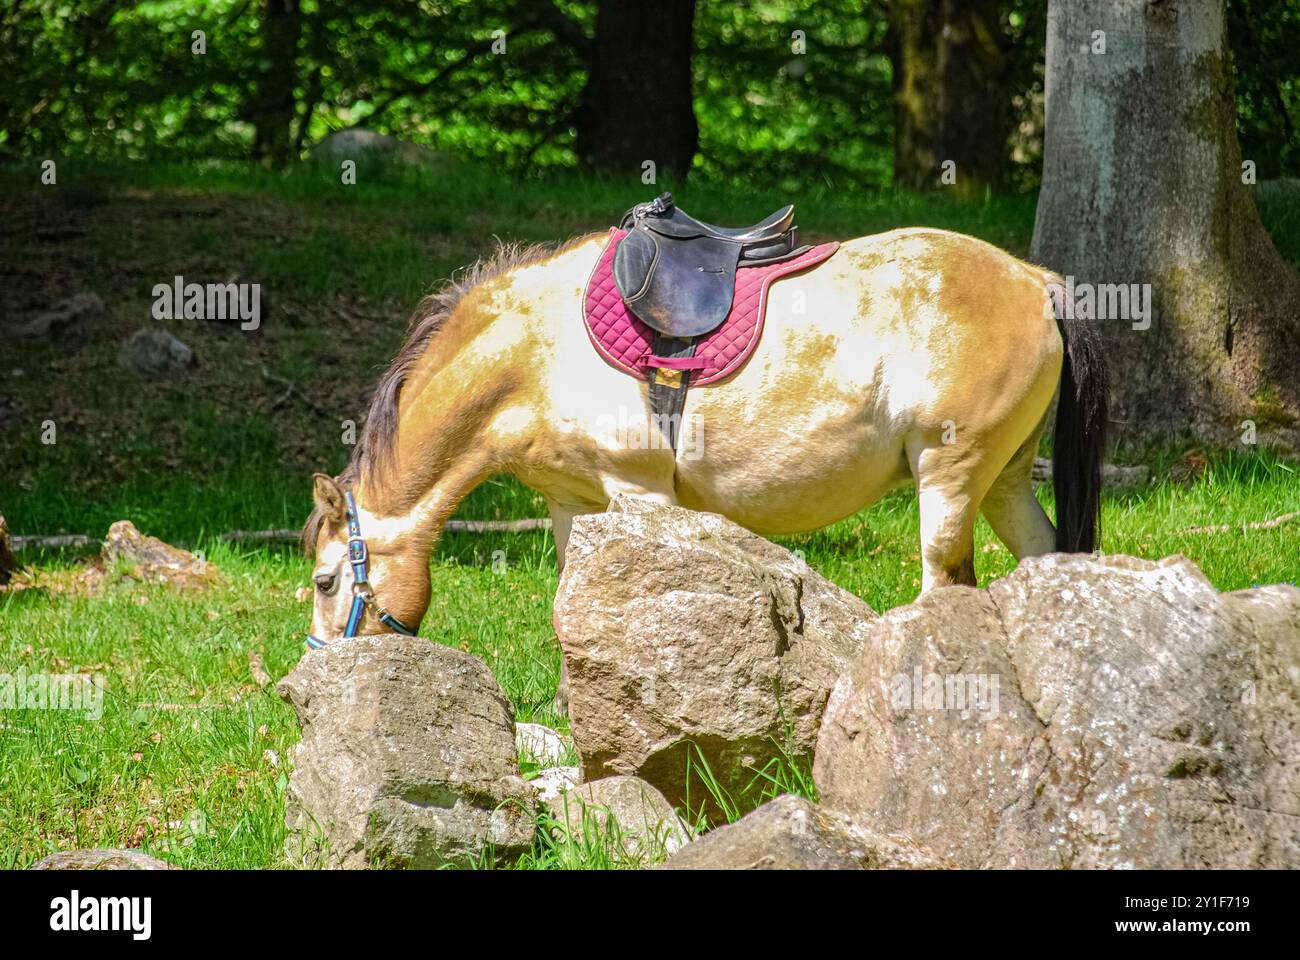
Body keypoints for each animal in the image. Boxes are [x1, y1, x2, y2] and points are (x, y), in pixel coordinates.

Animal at [303, 226, 1108, 658]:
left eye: (324, 581)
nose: (307, 679)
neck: (535, 353)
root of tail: (1035, 280)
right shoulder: (574, 505)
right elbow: (572, 608)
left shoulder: (640, 495)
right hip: (1004, 482)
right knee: (1046, 561)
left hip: (950, 477)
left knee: (944, 580)